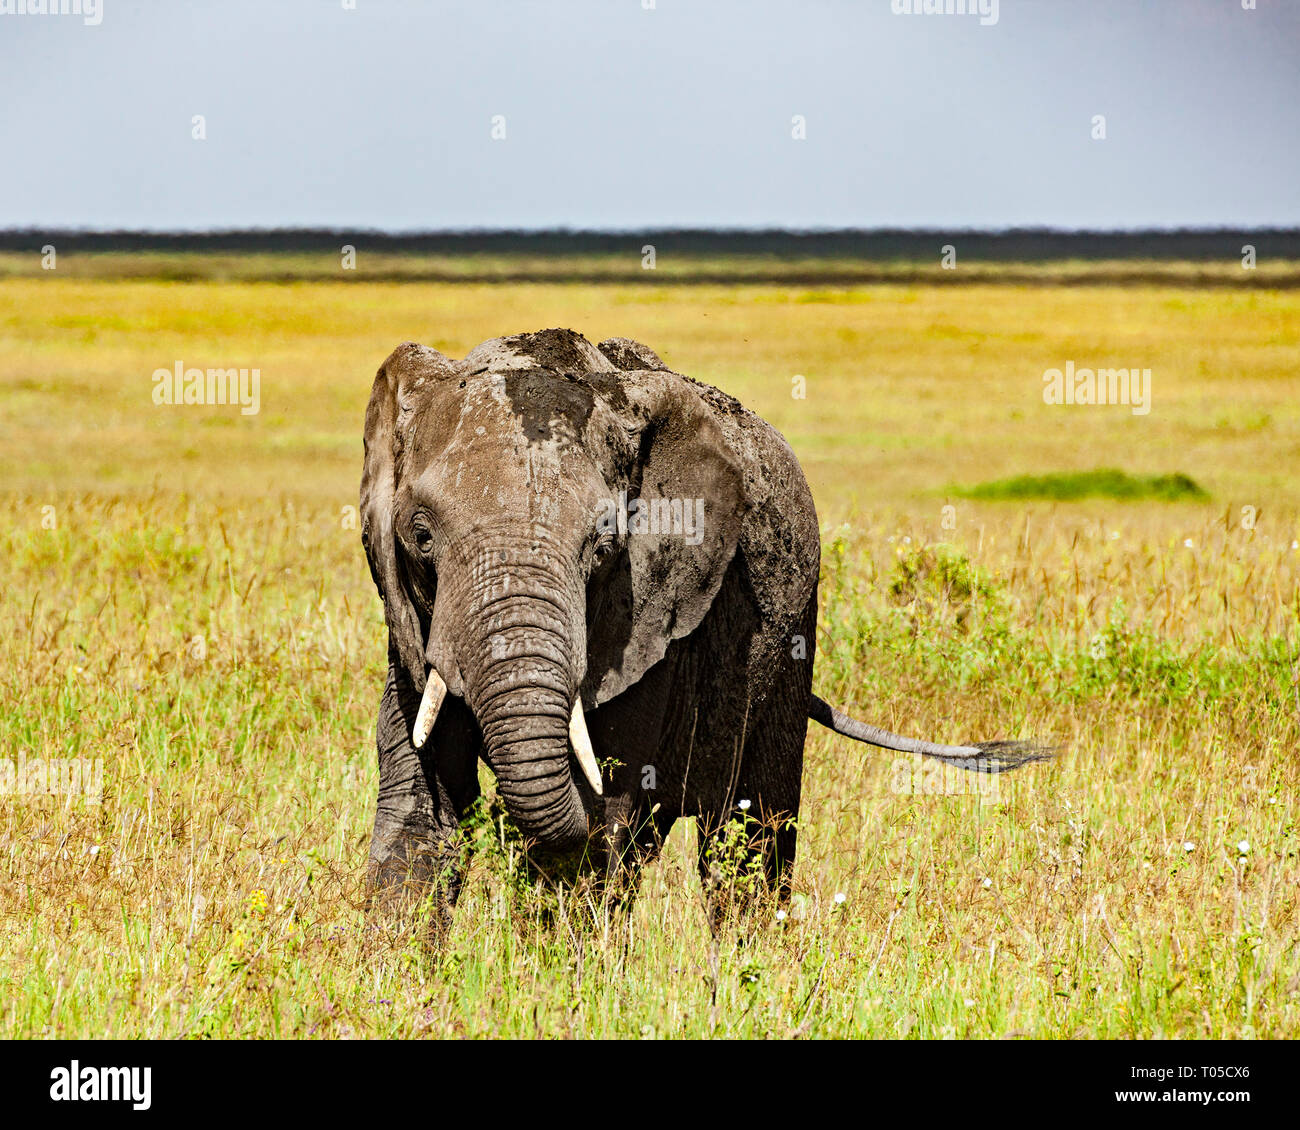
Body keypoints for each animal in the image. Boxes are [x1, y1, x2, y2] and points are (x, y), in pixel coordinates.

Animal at [359, 327, 1050, 926]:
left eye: (604, 547)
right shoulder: (410, 629)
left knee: (747, 839)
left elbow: (604, 815)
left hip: (791, 642)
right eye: (421, 537)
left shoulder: (645, 633)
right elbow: (420, 815)